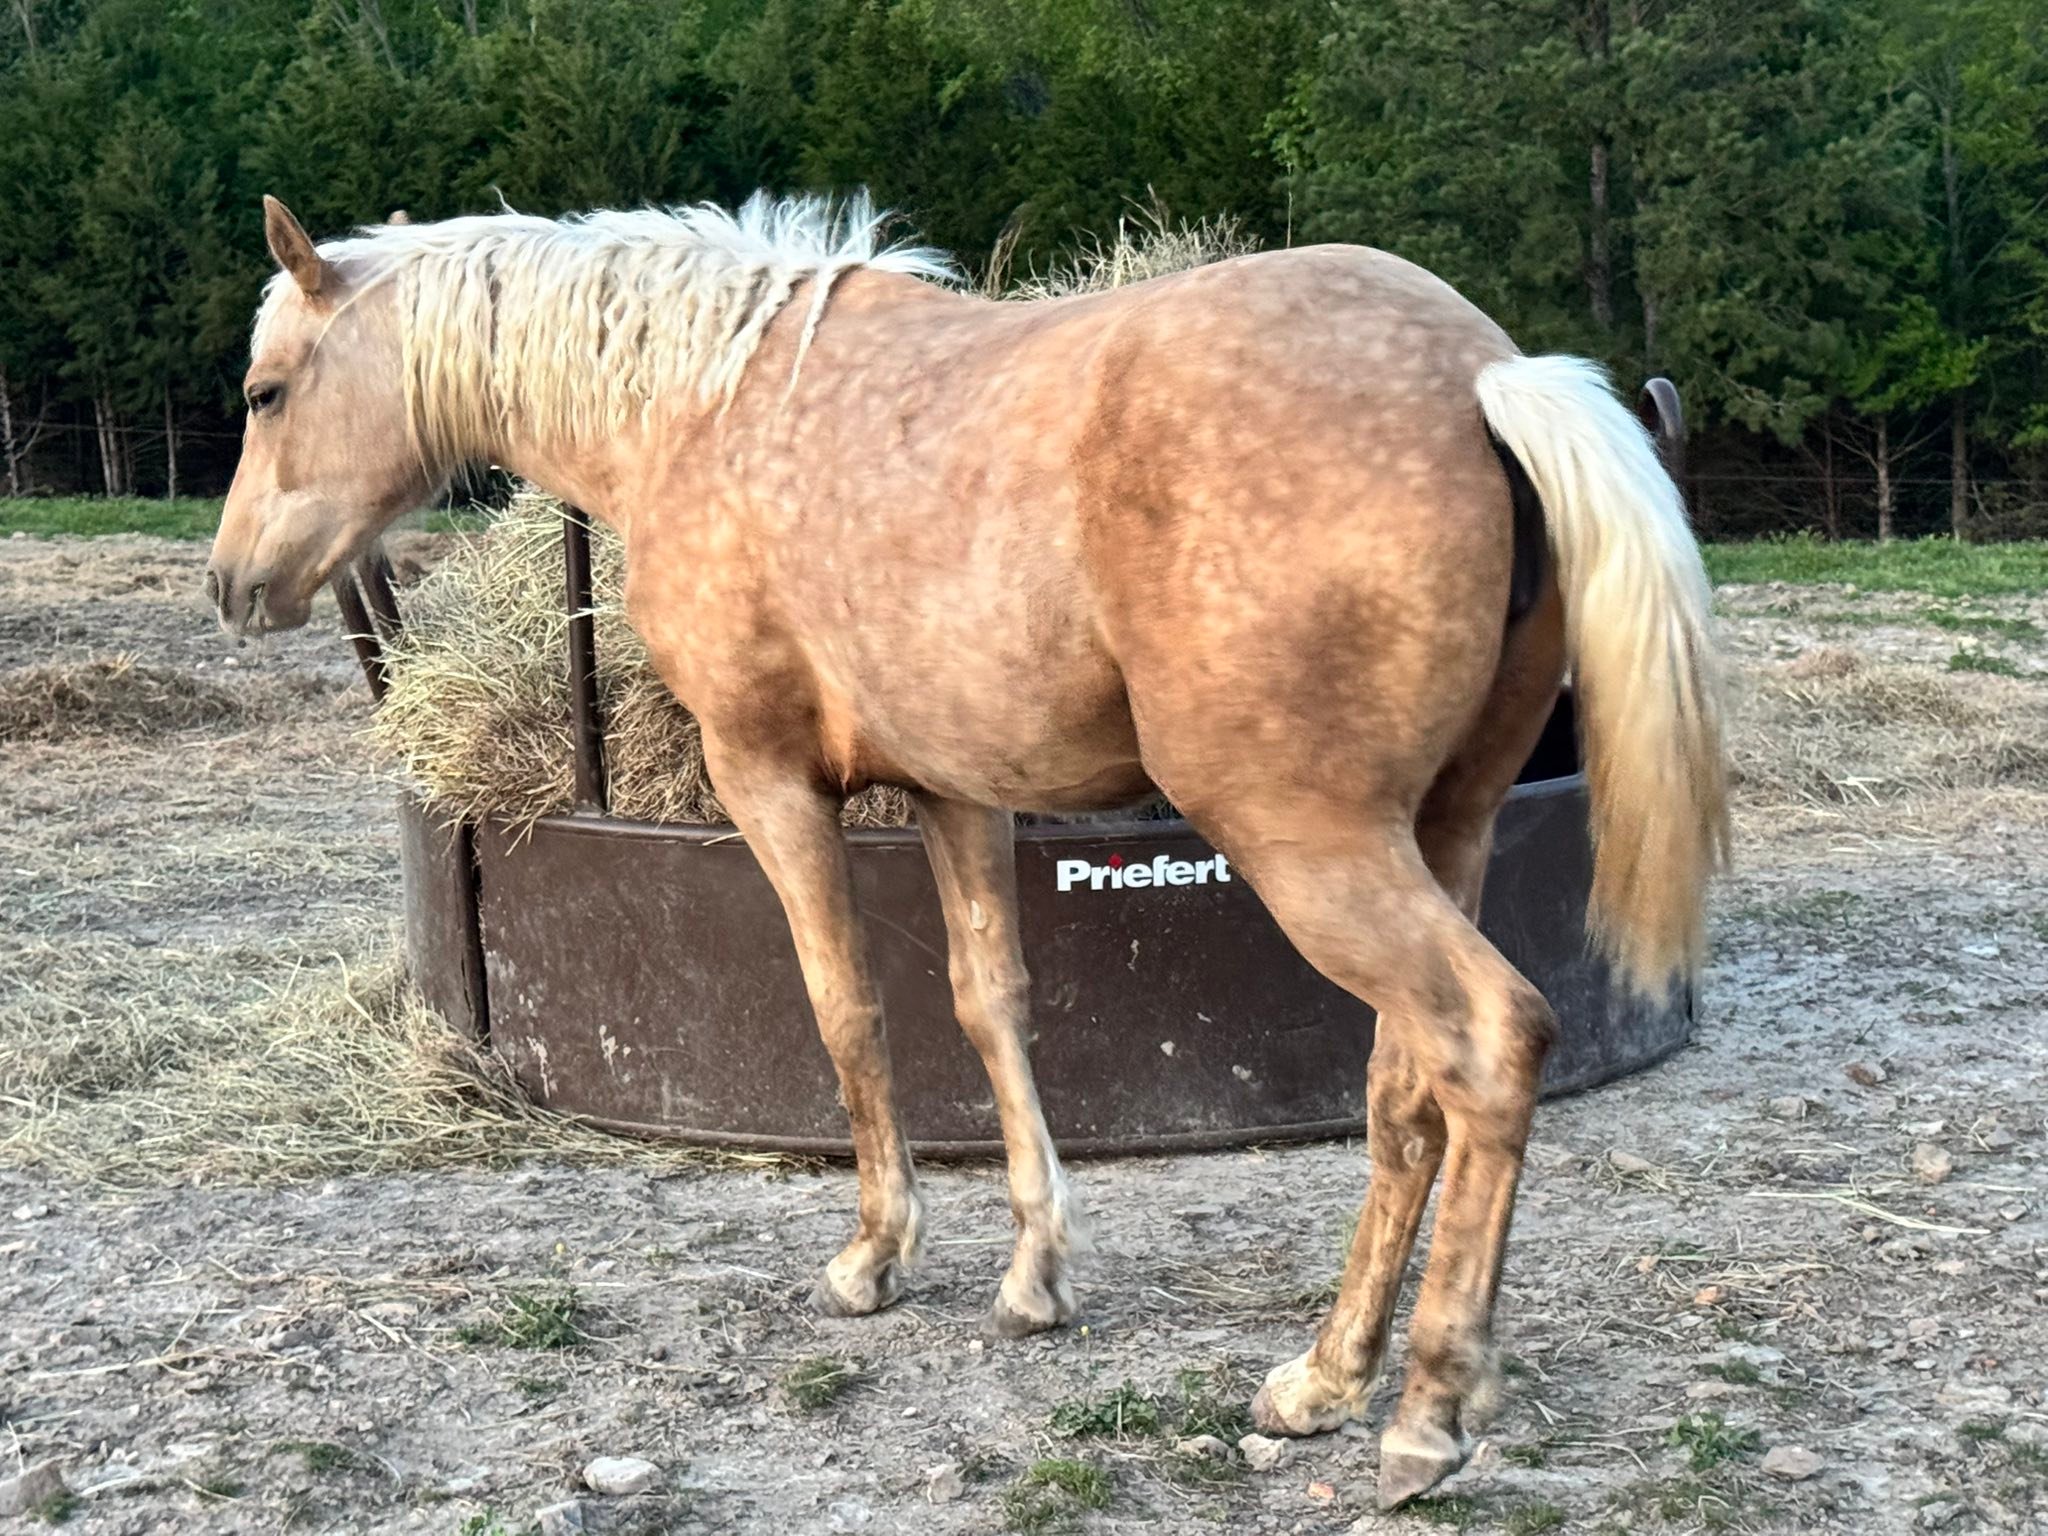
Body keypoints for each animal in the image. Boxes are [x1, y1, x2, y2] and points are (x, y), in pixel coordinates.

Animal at [206, 191, 1728, 1508]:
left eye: (267, 393)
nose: (232, 584)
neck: (713, 404)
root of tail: (1484, 376)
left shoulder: (768, 783)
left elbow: (848, 1010)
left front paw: (877, 1253)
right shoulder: (957, 795)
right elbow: (991, 1006)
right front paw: (1035, 1272)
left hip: (1315, 850)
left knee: (1488, 1041)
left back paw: (1424, 1411)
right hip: (1438, 833)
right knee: (1407, 1089)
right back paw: (1325, 1379)